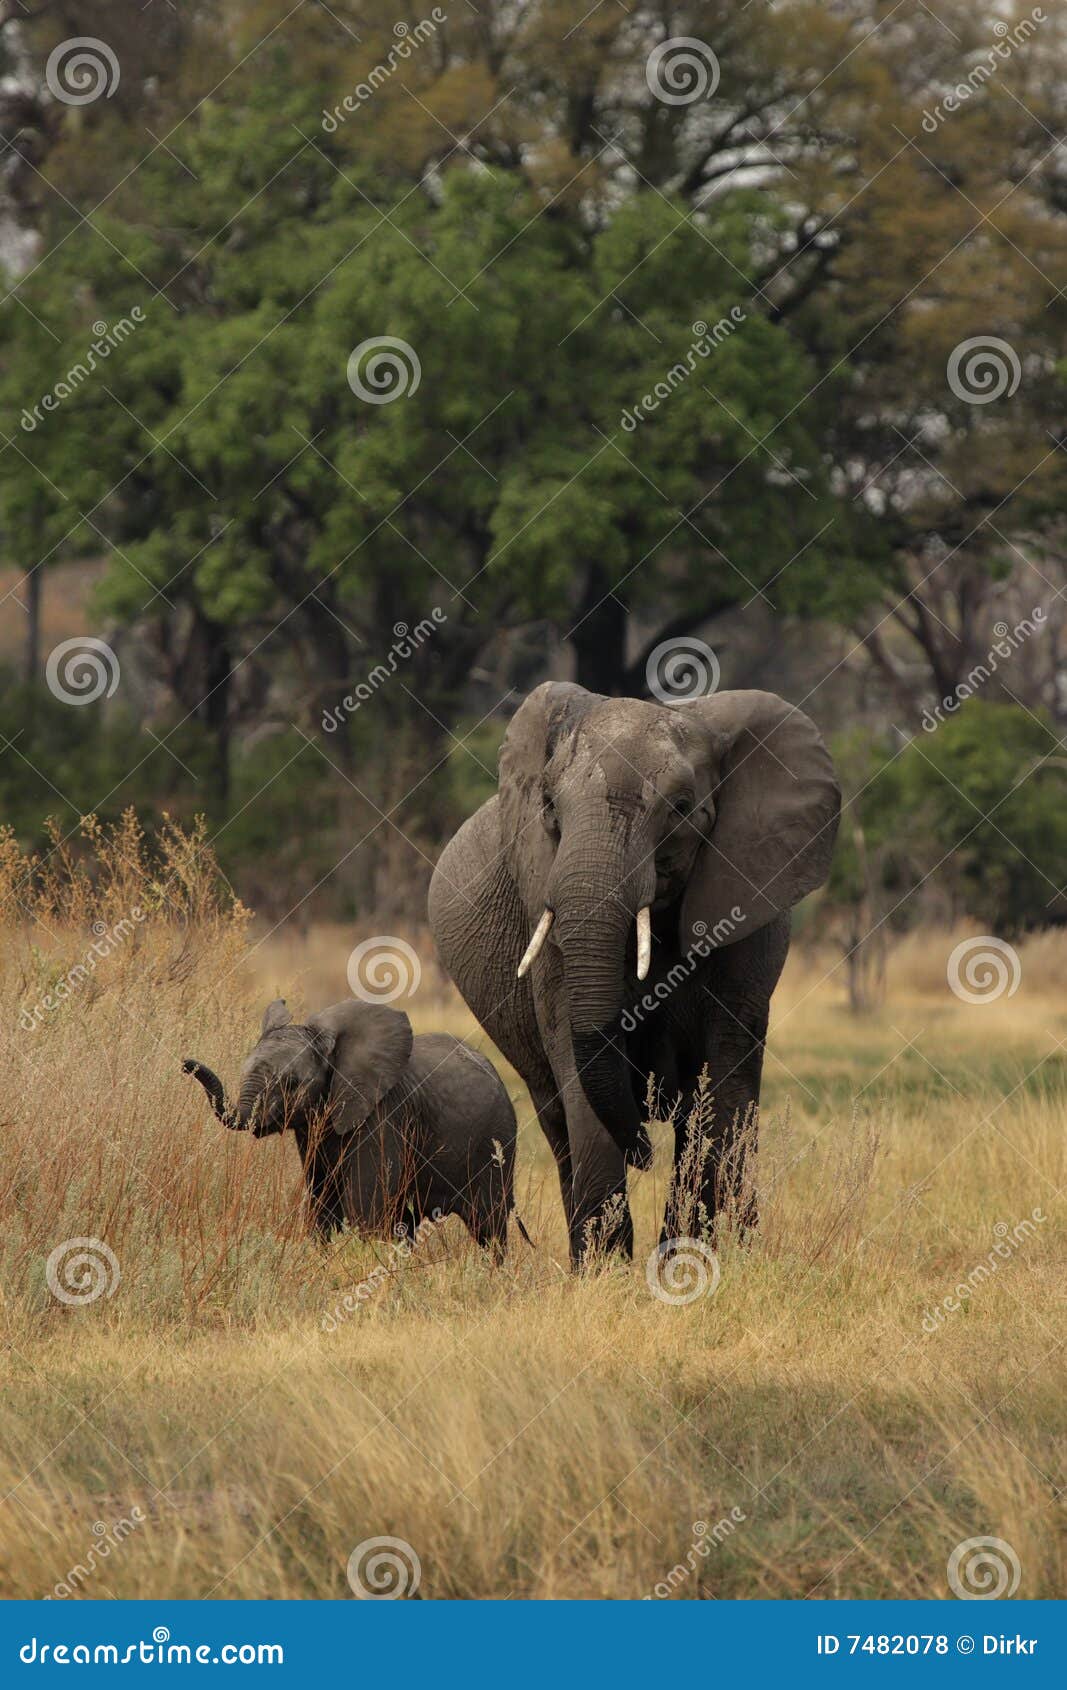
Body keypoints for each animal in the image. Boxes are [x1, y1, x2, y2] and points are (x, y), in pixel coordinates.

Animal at [182, 998, 527, 1256]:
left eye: (292, 1083)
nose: (186, 1065)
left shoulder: (383, 1115)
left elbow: (365, 1208)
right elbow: (322, 1203)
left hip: (496, 1143)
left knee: (489, 1226)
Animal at [428, 683, 840, 1267]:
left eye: (682, 809)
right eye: (549, 807)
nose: (643, 1144)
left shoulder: (746, 903)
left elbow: (725, 1070)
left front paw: (698, 1259)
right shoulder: (541, 896)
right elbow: (573, 1051)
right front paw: (606, 1270)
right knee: (555, 1114)